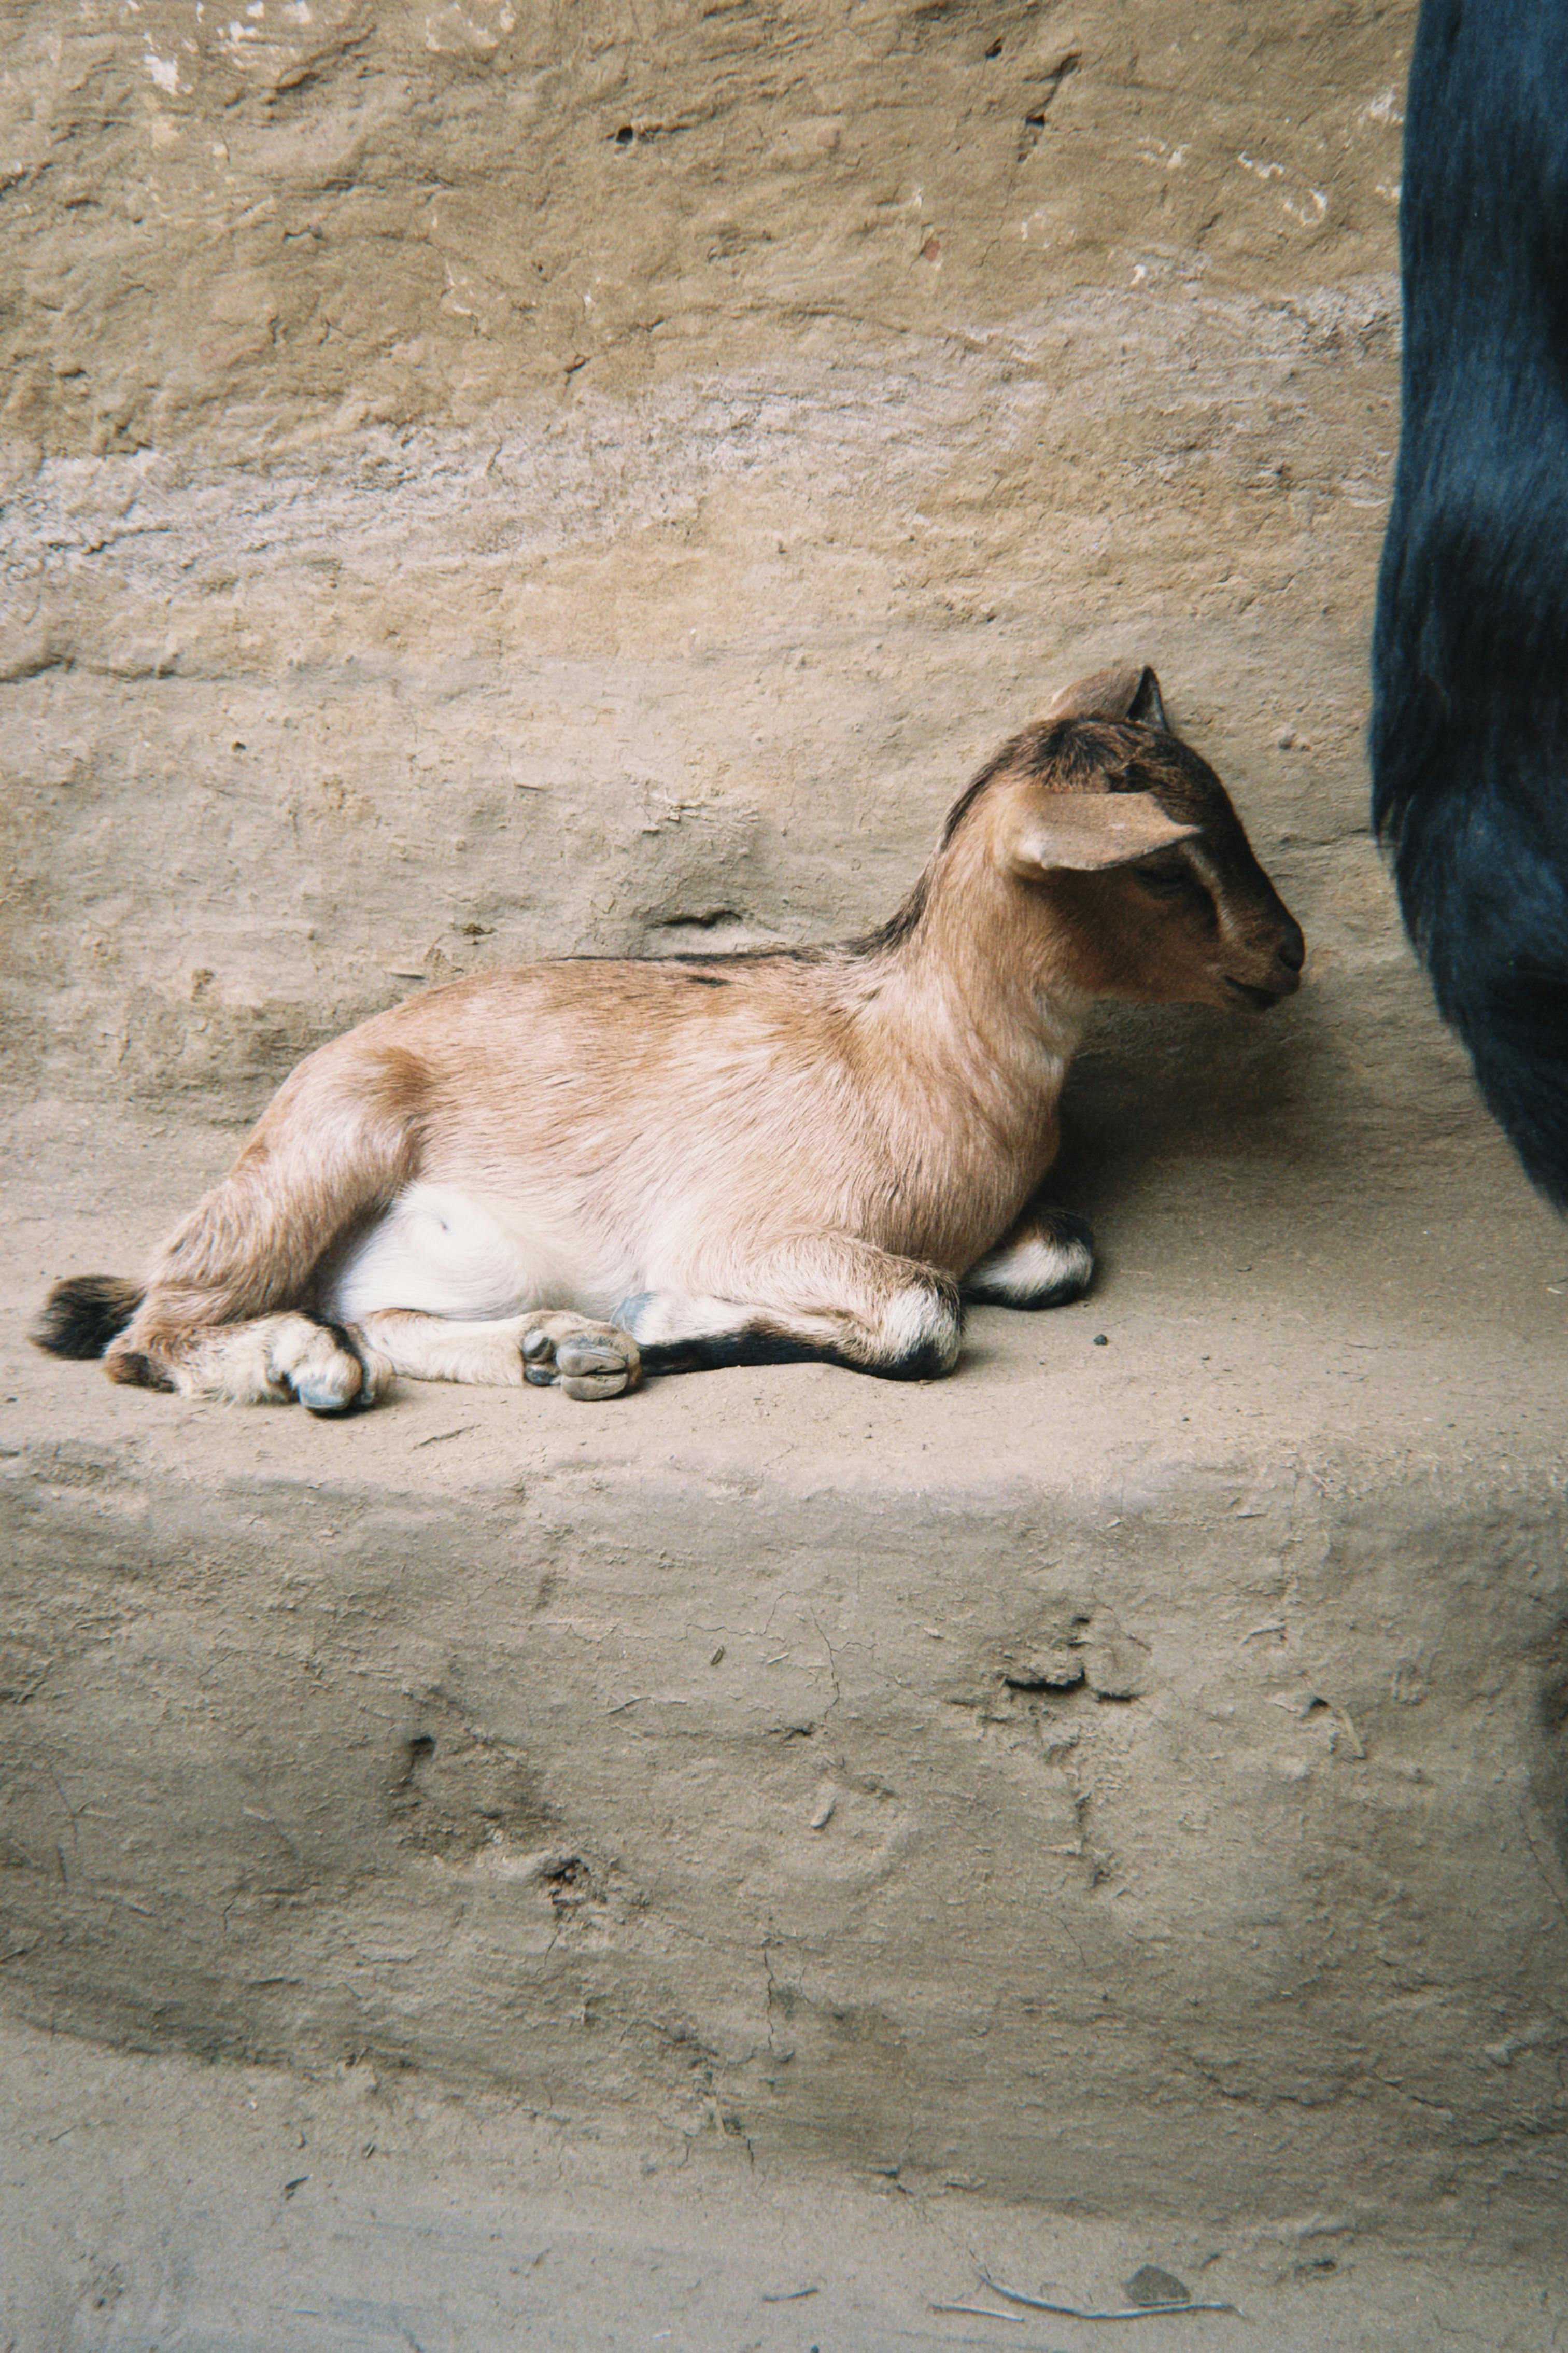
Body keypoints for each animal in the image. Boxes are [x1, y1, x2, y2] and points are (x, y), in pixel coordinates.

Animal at [33, 665, 1303, 1409]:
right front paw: (671, 1319)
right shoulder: (749, 1228)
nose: (1288, 954)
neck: (925, 1046)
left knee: (373, 1315)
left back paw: (552, 1346)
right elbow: (921, 1315)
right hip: (320, 1148)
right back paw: (304, 1364)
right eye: (1163, 862)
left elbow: (1064, 1251)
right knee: (148, 1331)